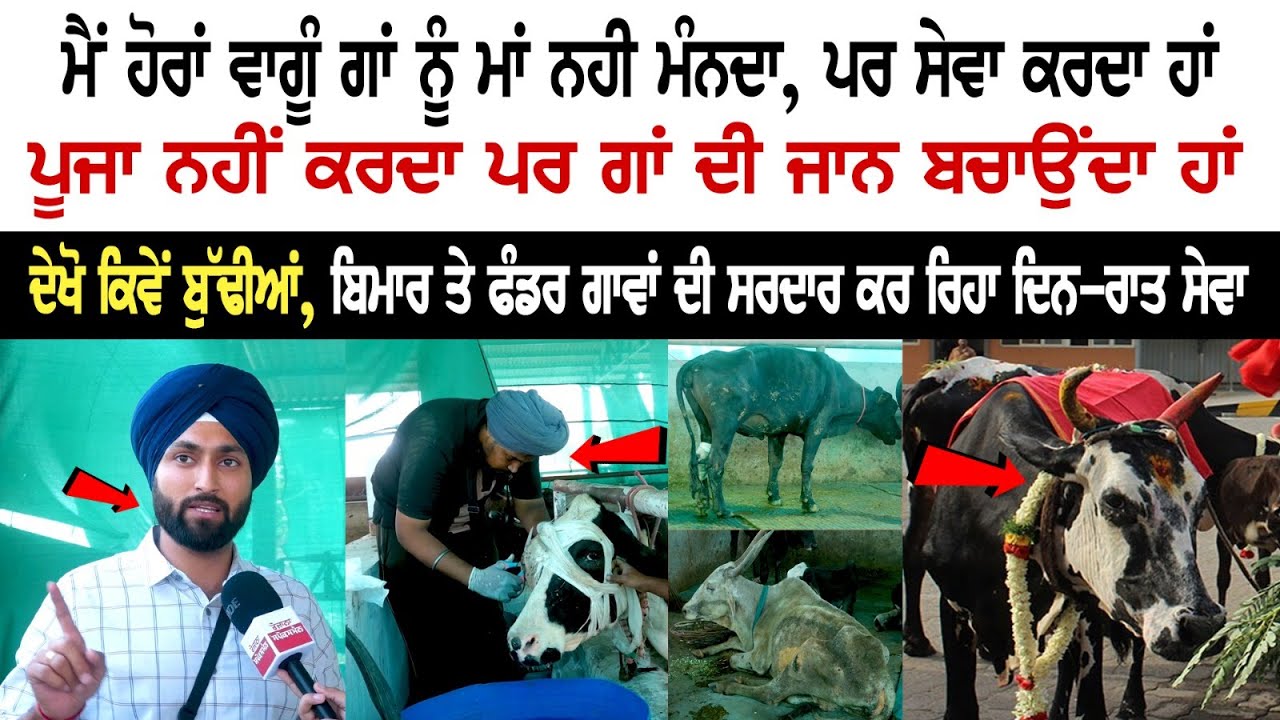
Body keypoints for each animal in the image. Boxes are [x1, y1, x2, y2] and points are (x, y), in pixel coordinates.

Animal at [677, 345, 901, 518]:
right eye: (892, 408)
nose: (899, 433)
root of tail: (697, 361)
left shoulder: (778, 431)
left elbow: (775, 463)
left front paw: (774, 496)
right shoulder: (817, 426)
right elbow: (807, 465)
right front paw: (809, 502)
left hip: (705, 426)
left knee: (698, 460)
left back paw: (702, 503)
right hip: (725, 426)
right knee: (714, 464)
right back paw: (722, 509)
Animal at [683, 530, 897, 719]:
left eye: (711, 587)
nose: (685, 609)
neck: (760, 607)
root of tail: (883, 688)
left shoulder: (759, 657)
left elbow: (734, 659)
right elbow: (730, 639)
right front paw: (702, 651)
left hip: (803, 656)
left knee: (771, 693)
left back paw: (726, 684)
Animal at [921, 366, 1227, 720]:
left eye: (1200, 502)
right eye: (1115, 500)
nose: (1203, 625)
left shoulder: (1089, 610)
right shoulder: (951, 603)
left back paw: (1131, 705)